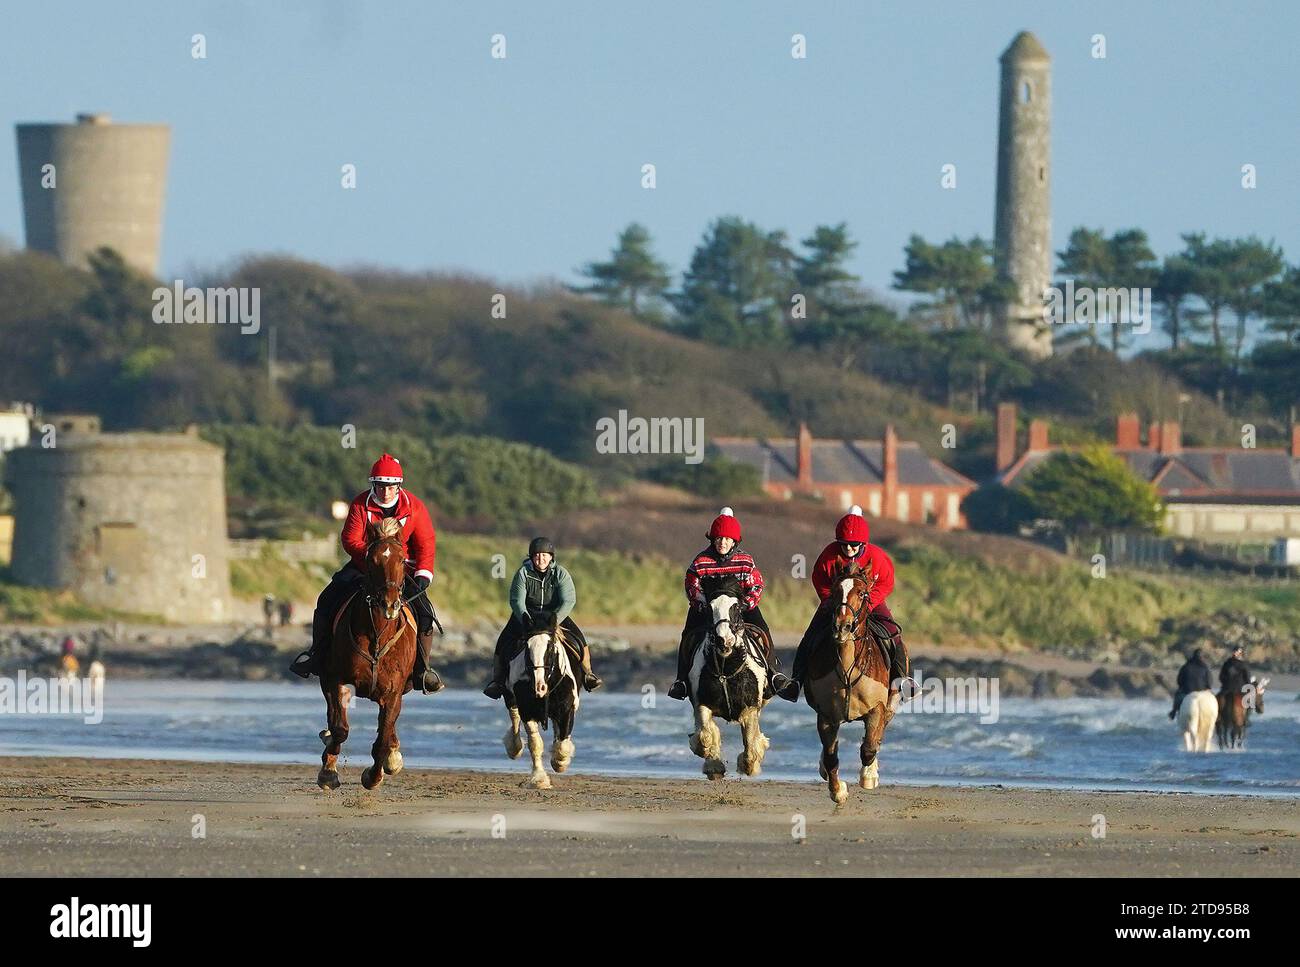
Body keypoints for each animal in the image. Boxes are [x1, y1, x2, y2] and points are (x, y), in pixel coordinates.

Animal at [316, 518, 422, 791]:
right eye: (372, 560)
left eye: (402, 560)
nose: (389, 604)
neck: (377, 633)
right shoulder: (335, 679)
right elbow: (340, 728)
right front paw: (328, 773)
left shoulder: (394, 691)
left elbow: (382, 738)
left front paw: (374, 776)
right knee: (333, 720)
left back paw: (392, 758)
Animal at [501, 611, 580, 789]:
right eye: (527, 647)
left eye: (550, 647)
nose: (540, 687)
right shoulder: (527, 712)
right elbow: (535, 744)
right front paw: (539, 779)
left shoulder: (567, 709)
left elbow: (562, 742)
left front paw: (559, 762)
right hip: (510, 698)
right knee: (514, 716)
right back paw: (514, 747)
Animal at [684, 574, 772, 781]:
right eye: (709, 608)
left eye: (737, 607)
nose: (724, 641)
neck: (726, 668)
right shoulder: (701, 702)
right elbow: (704, 735)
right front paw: (713, 765)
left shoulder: (750, 707)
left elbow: (750, 743)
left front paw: (750, 765)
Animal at [802, 560, 898, 803]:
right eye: (835, 592)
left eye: (862, 593)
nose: (842, 627)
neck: (847, 666)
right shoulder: (826, 716)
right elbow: (830, 757)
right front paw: (838, 791)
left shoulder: (876, 708)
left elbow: (869, 748)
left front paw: (868, 776)